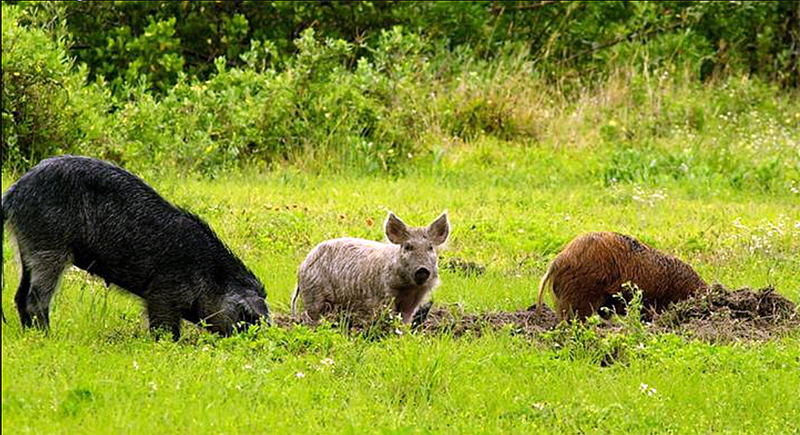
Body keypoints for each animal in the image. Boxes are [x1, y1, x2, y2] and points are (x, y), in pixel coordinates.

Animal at [1, 155, 270, 339]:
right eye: (247, 318)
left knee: (19, 295)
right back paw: (48, 336)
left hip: (26, 247)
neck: (210, 275)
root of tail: (14, 192)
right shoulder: (163, 291)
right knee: (35, 296)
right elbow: (164, 325)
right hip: (49, 246)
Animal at [291, 212, 449, 325]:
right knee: (311, 315)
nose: (422, 269)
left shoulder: (415, 299)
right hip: (313, 292)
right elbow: (387, 314)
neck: (408, 288)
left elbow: (405, 318)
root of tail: (303, 265)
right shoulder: (384, 293)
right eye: (408, 247)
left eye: (430, 247)